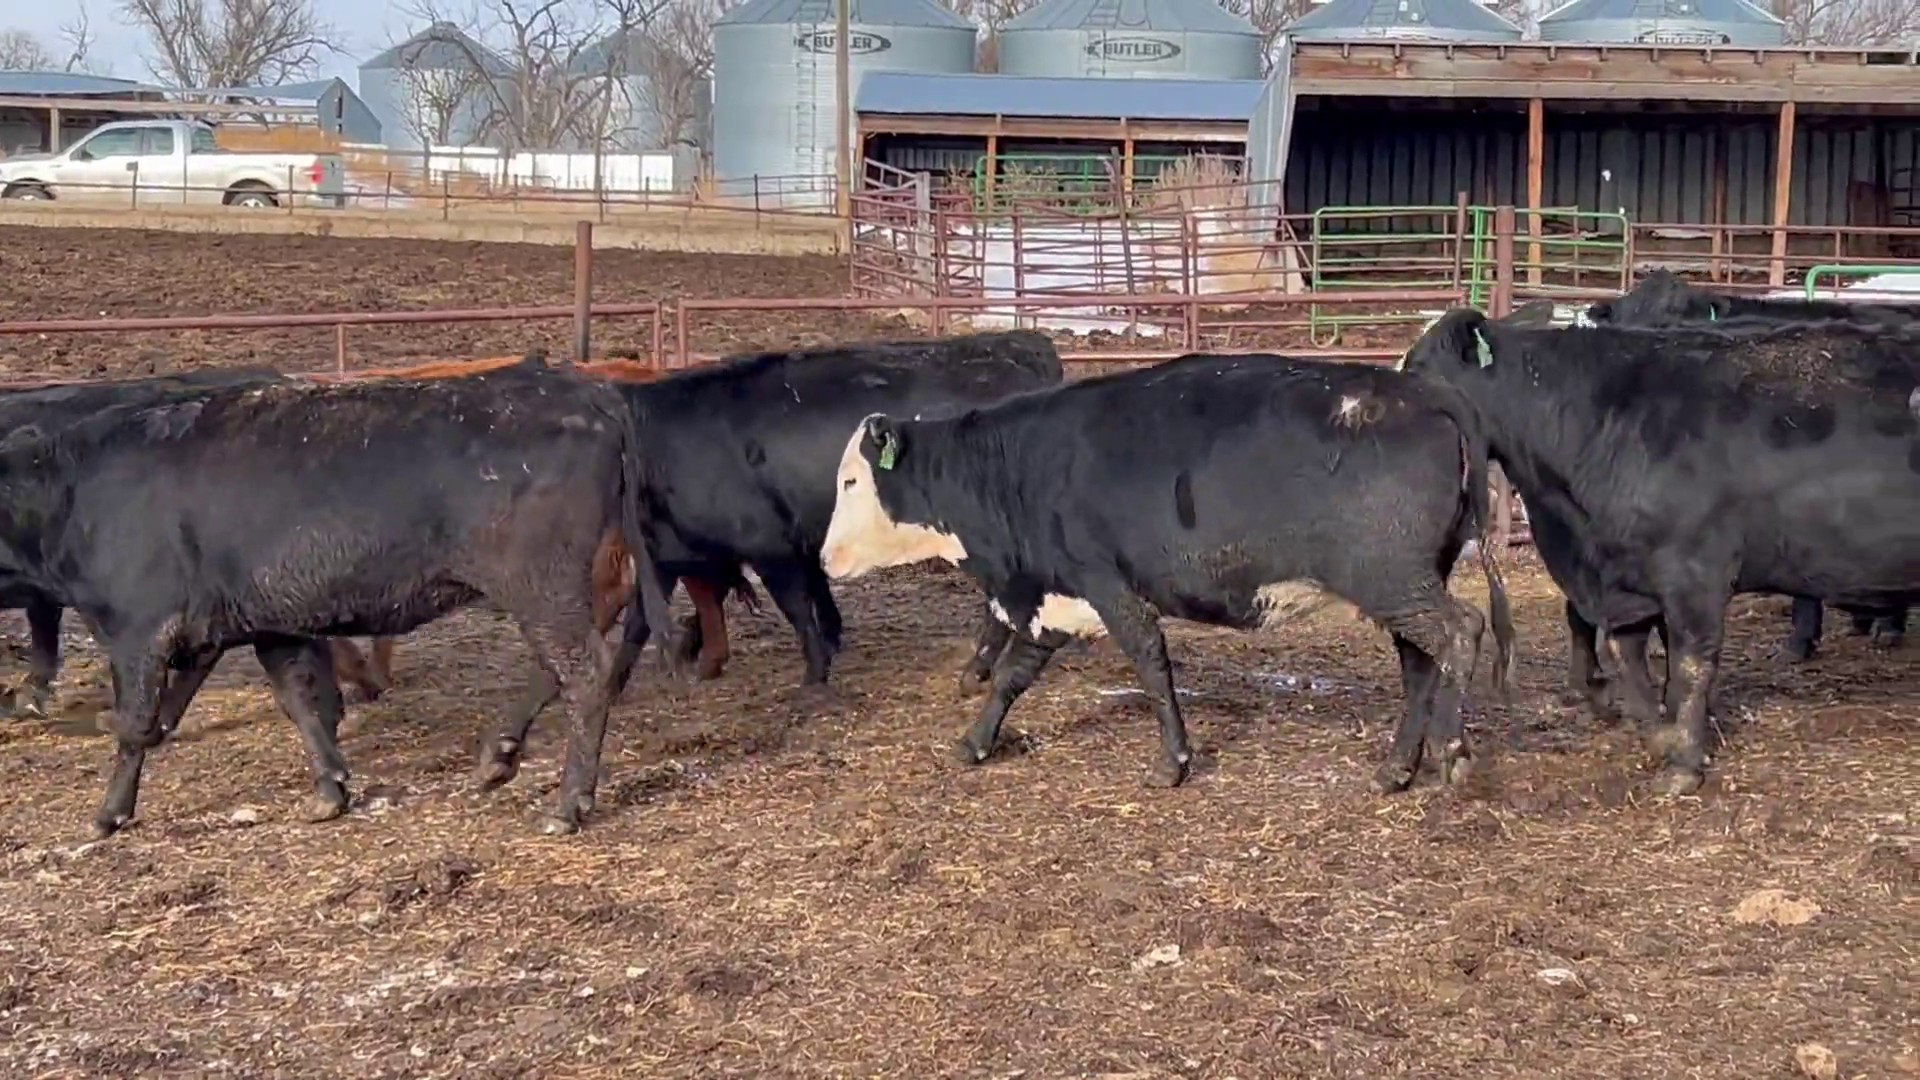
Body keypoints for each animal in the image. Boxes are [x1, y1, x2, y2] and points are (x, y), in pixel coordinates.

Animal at [0, 359, 678, 837]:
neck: (69, 483)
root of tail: (586, 394)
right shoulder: (260, 624)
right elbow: (300, 702)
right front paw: (330, 790)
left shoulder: (138, 631)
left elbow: (136, 723)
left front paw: (108, 813)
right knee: (571, 667)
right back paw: (500, 756)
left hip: (543, 586)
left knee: (585, 675)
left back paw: (568, 803)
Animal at [817, 353, 1515, 793]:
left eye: (849, 481)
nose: (824, 558)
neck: (1019, 466)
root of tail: (1426, 393)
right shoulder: (1058, 595)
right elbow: (1014, 674)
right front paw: (976, 741)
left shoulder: (1107, 584)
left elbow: (1151, 663)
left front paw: (1172, 761)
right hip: (1406, 585)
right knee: (1421, 665)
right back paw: (1397, 769)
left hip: (1393, 581)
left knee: (1461, 632)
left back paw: (1452, 752)